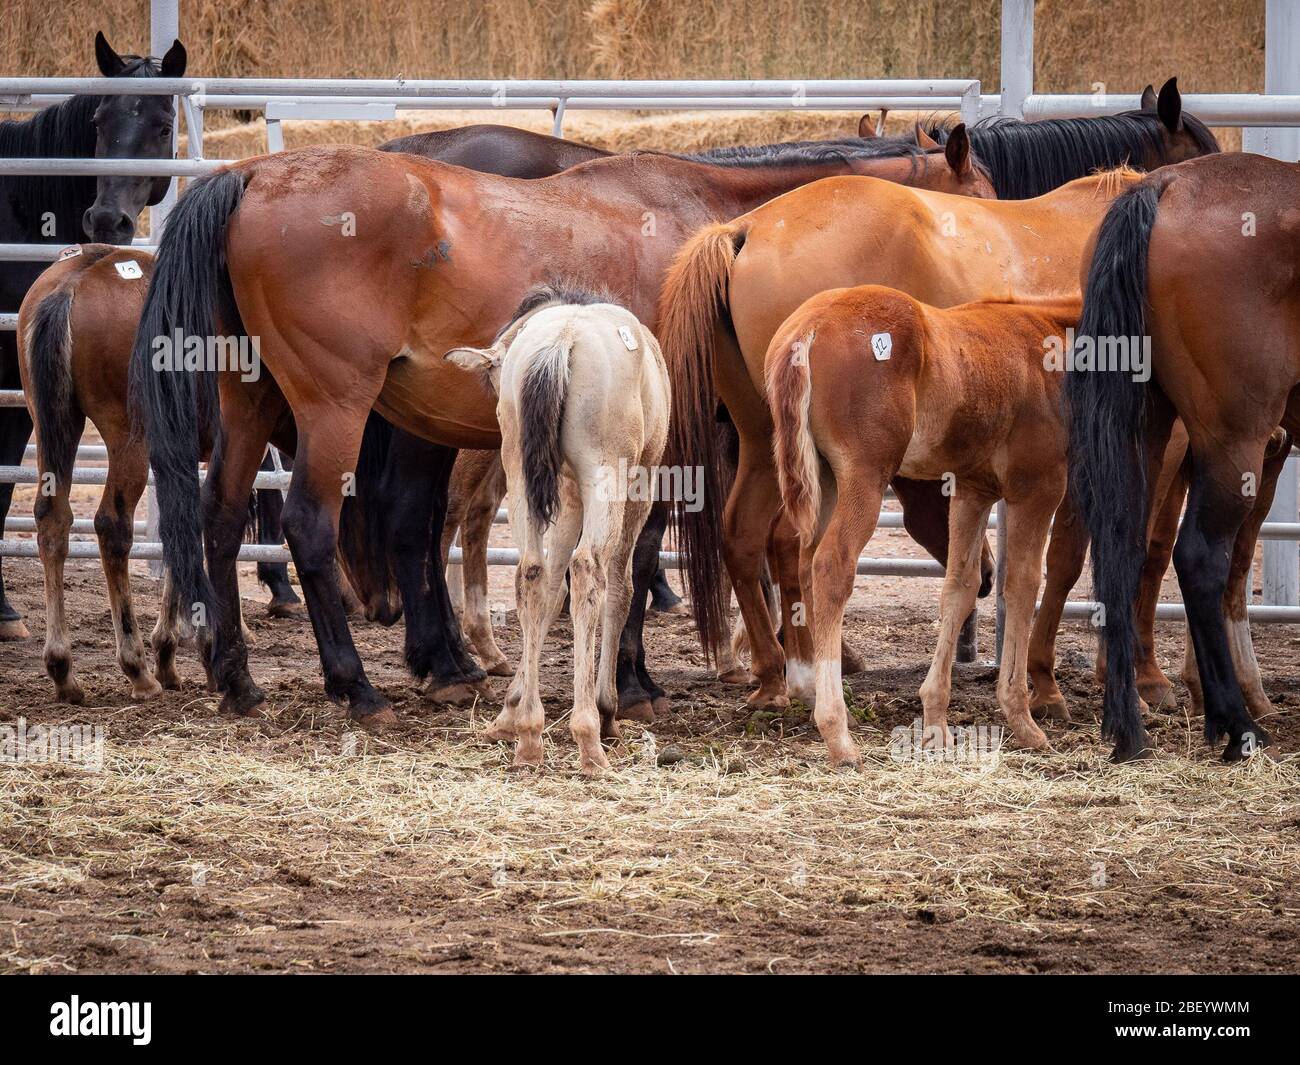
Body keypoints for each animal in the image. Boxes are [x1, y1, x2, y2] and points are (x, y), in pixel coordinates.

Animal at [446, 285, 669, 772]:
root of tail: (562, 340)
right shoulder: (638, 486)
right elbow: (620, 586)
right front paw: (607, 711)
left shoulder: (563, 494)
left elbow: (550, 589)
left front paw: (510, 714)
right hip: (608, 481)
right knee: (589, 571)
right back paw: (589, 735)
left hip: (523, 480)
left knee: (531, 573)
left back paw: (530, 737)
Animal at [768, 287, 1079, 765]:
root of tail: (808, 327)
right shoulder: (1038, 488)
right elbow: (1023, 586)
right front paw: (1023, 720)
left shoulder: (972, 491)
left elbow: (960, 586)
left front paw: (936, 723)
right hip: (864, 479)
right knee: (832, 566)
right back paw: (838, 734)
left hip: (823, 481)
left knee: (805, 567)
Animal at [1066, 151, 1300, 762]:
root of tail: (1167, 184)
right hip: (1232, 442)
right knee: (1199, 559)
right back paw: (1238, 726)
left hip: (1147, 430)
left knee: (1125, 551)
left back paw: (1129, 728)